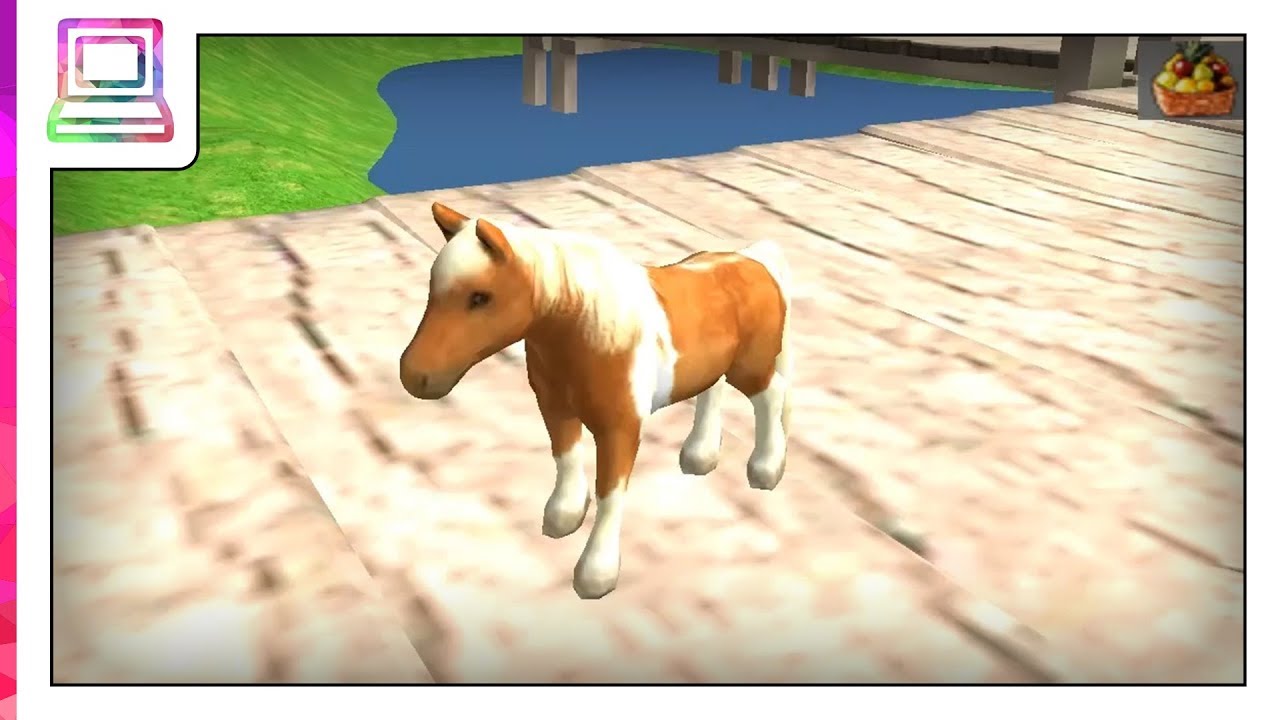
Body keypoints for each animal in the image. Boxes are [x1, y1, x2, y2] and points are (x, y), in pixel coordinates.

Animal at [399, 202, 793, 599]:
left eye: (480, 297)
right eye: (433, 290)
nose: (413, 376)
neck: (582, 332)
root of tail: (754, 259)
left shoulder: (621, 428)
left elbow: (610, 493)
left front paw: (596, 572)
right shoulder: (556, 409)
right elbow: (566, 458)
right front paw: (564, 514)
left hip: (752, 367)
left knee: (771, 396)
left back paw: (766, 467)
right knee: (713, 390)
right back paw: (700, 455)